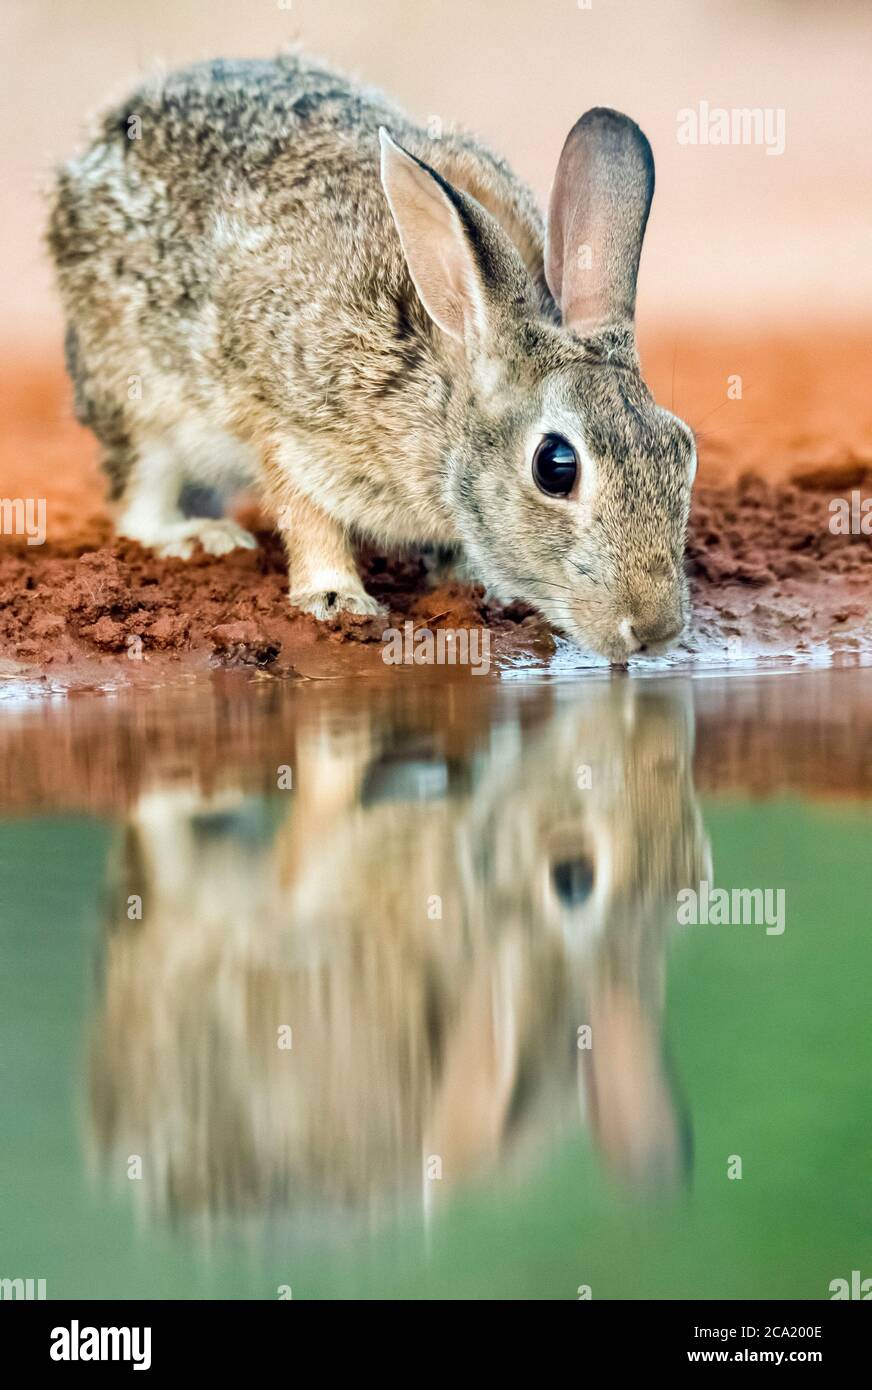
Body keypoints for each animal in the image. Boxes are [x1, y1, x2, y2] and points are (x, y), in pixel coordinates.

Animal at [48, 52, 697, 661]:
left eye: (683, 451)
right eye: (555, 467)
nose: (655, 631)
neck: (446, 380)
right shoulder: (288, 418)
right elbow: (304, 512)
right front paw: (336, 599)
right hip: (137, 392)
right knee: (139, 497)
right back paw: (197, 537)